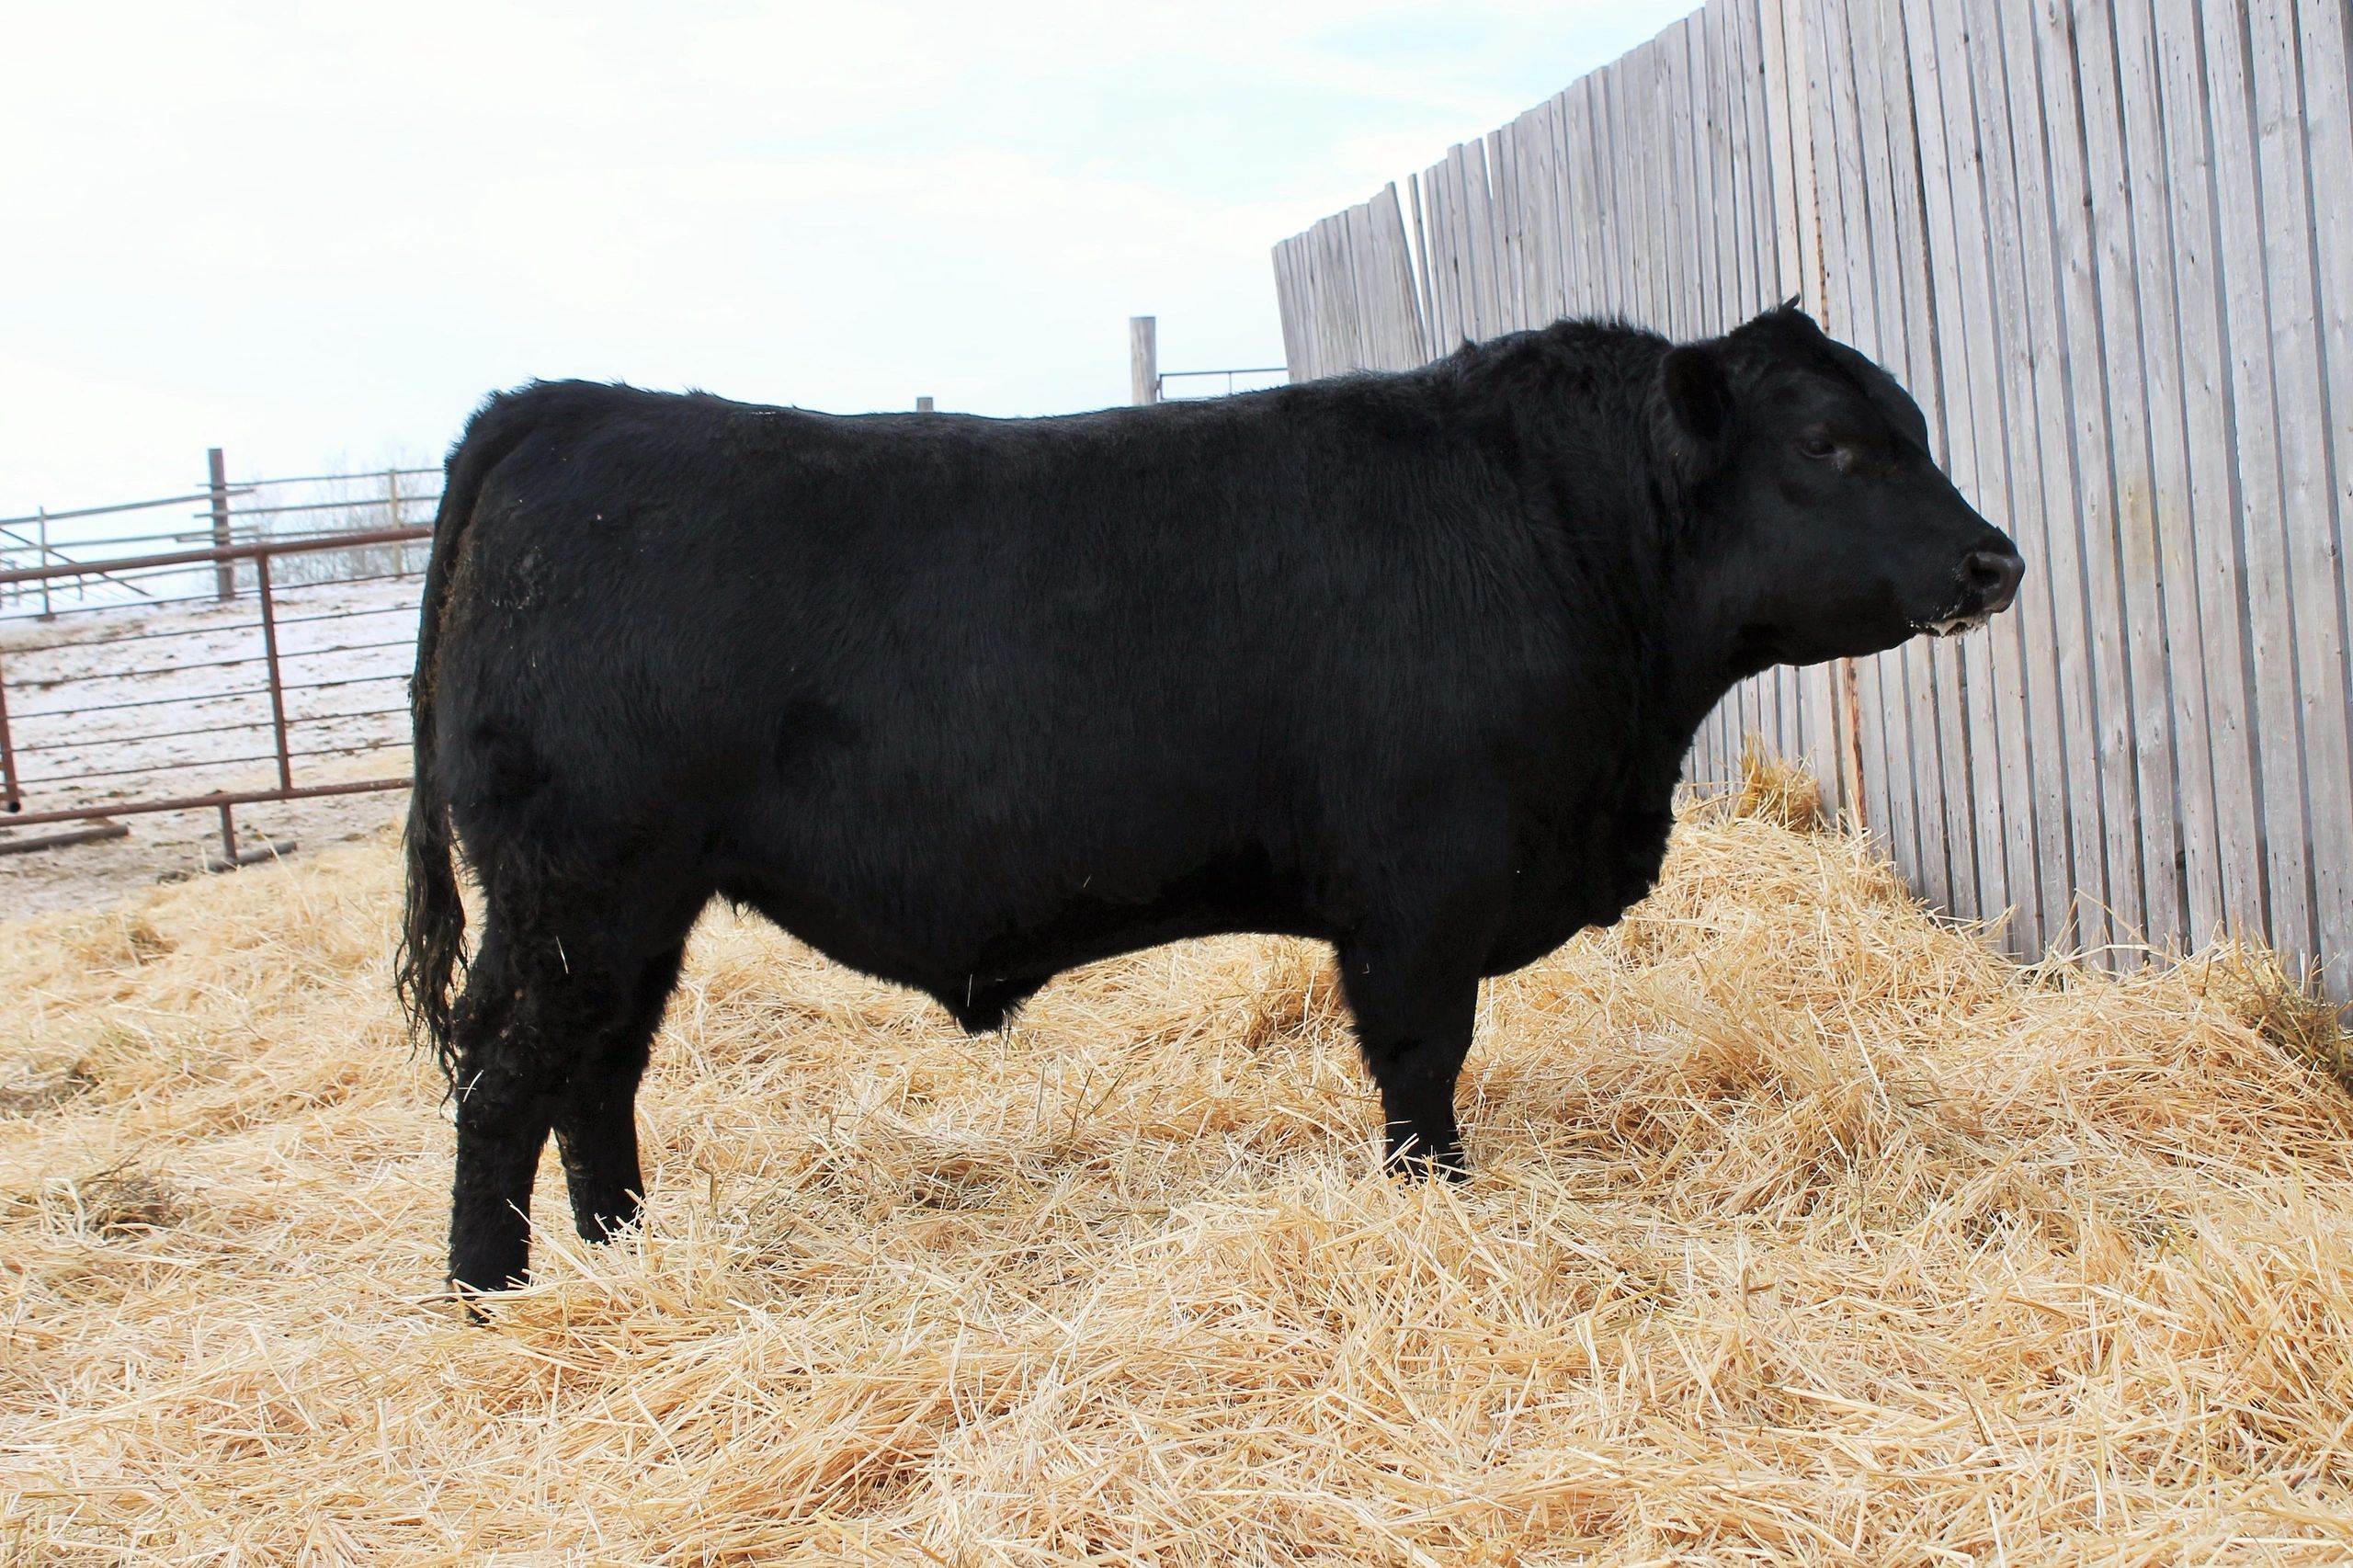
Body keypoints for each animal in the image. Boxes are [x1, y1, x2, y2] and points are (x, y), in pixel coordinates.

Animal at [399, 302, 2022, 1299]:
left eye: (1911, 421)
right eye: (1828, 443)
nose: (1994, 559)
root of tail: (563, 408)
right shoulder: (1420, 895)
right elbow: (1422, 1070)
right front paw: (1437, 1205)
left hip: (635, 903)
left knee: (599, 1074)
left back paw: (624, 1254)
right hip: (578, 886)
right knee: (508, 1078)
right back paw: (490, 1298)